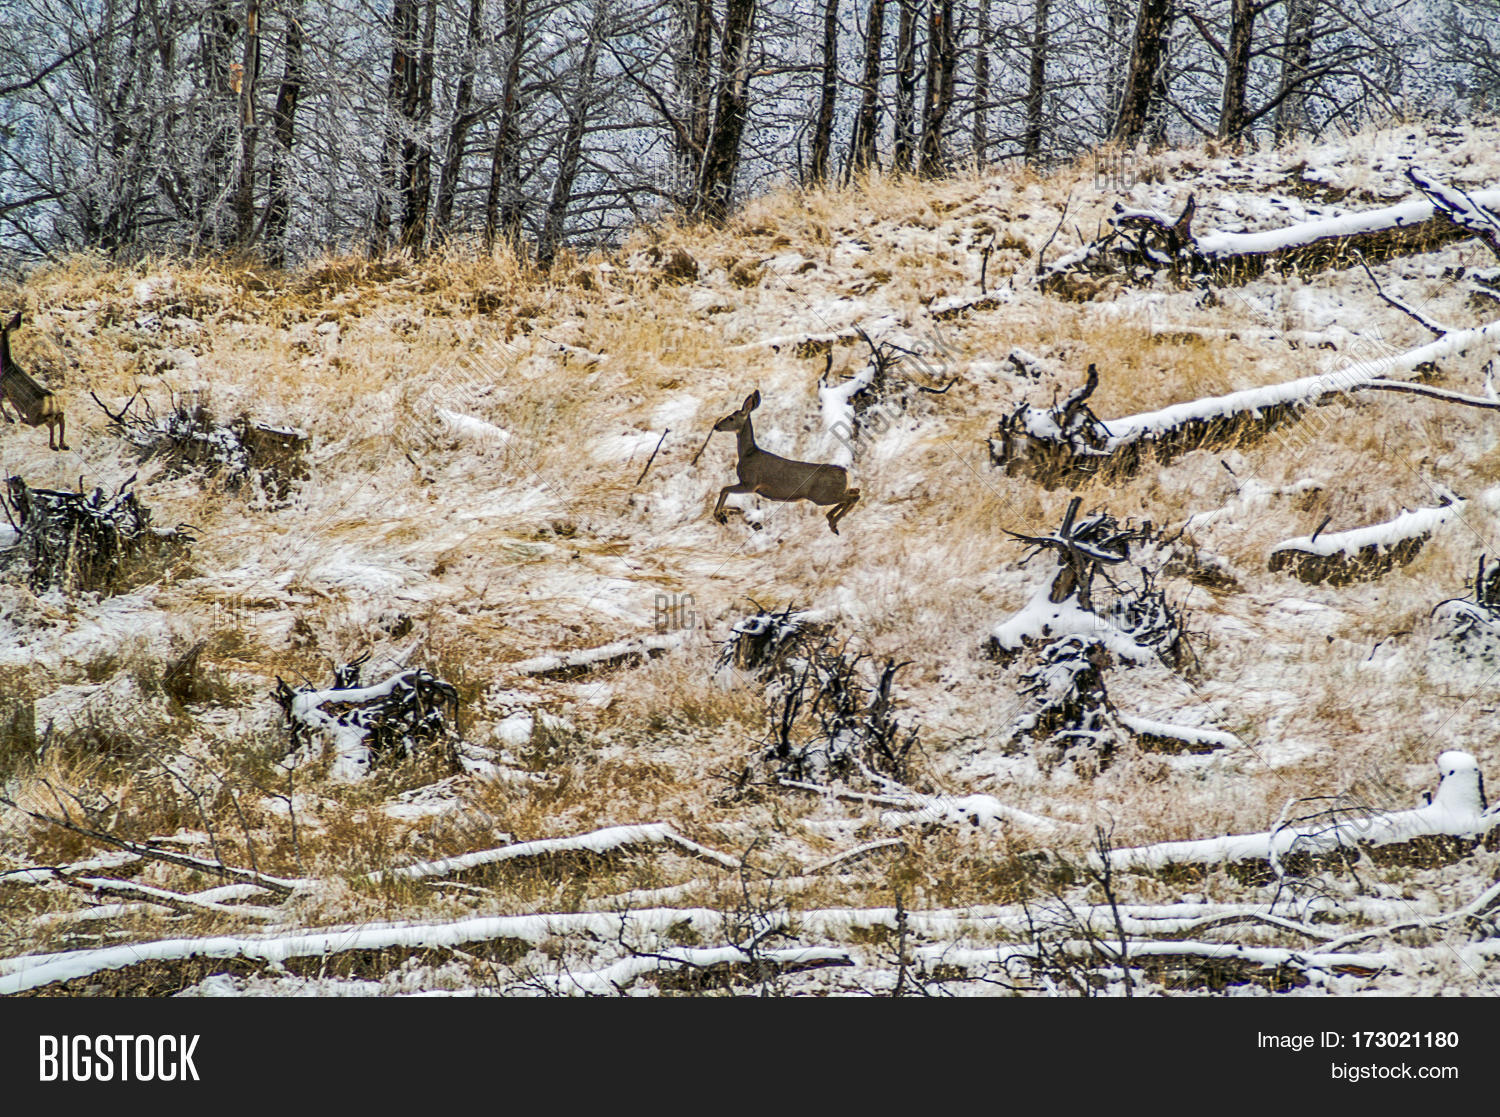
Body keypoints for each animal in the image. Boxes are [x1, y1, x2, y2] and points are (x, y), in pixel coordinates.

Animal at [1, 311, 68, 451]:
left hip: (35, 416)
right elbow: (14, 405)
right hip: (49, 414)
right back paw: (63, 445)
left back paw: (54, 445)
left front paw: (10, 419)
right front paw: (17, 419)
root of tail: (52, 404)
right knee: (60, 417)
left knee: (49, 421)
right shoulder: (10, 394)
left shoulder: (3, 390)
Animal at [709, 390, 860, 534]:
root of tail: (846, 473)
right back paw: (831, 520)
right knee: (856, 492)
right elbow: (735, 503)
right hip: (830, 493)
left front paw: (720, 515)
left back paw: (833, 523)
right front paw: (729, 513)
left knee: (852, 497)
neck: (747, 453)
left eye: (731, 418)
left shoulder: (750, 483)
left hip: (822, 495)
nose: (716, 426)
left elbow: (724, 489)